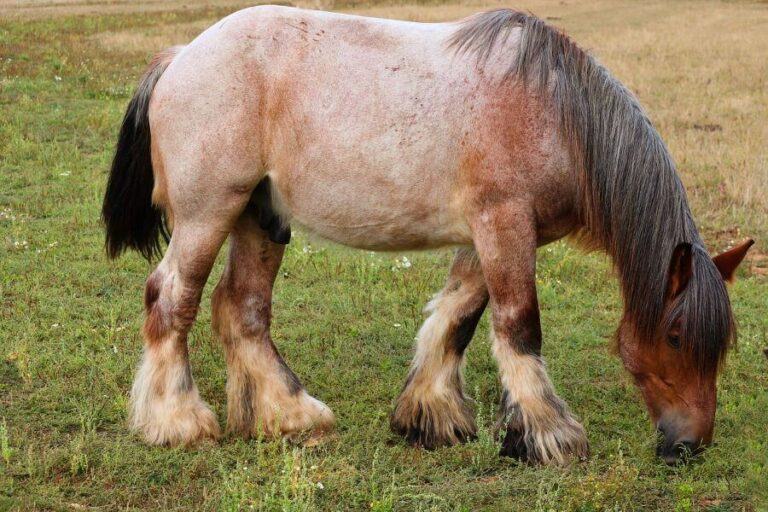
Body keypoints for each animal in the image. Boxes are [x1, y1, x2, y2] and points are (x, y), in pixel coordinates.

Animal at [101, 6, 754, 465]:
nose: (689, 444)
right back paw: (177, 421)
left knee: (243, 309)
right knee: (171, 300)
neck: (559, 115)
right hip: (207, 215)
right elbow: (519, 327)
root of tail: (182, 55)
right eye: (675, 336)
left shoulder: (488, 236)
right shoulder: (503, 225)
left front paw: (430, 416)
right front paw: (549, 436)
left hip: (260, 220)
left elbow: (458, 317)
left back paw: (291, 415)